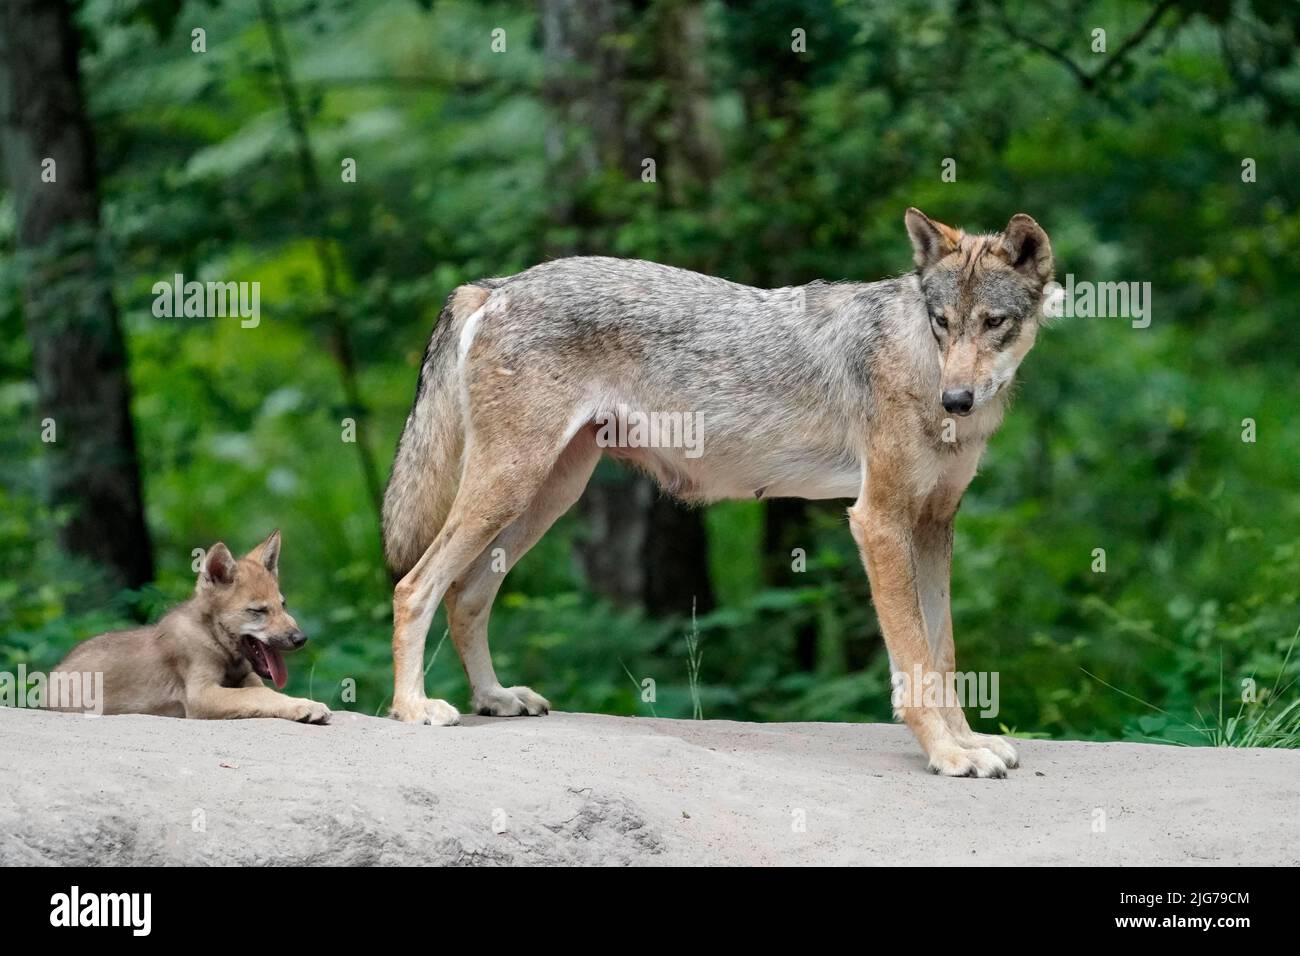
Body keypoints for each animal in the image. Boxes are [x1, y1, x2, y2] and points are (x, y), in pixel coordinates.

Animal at [49, 530, 331, 722]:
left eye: (283, 605)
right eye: (258, 611)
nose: (301, 638)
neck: (212, 638)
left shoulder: (247, 678)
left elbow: (265, 692)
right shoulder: (200, 694)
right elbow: (259, 696)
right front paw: (306, 706)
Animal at [382, 209, 1053, 777]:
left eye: (993, 323)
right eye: (942, 324)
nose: (957, 399)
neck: (919, 362)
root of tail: (496, 285)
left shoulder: (935, 523)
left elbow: (944, 655)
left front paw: (968, 742)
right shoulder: (879, 521)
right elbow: (914, 660)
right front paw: (947, 755)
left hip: (544, 499)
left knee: (466, 595)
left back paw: (493, 698)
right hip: (510, 488)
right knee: (414, 587)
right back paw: (413, 708)